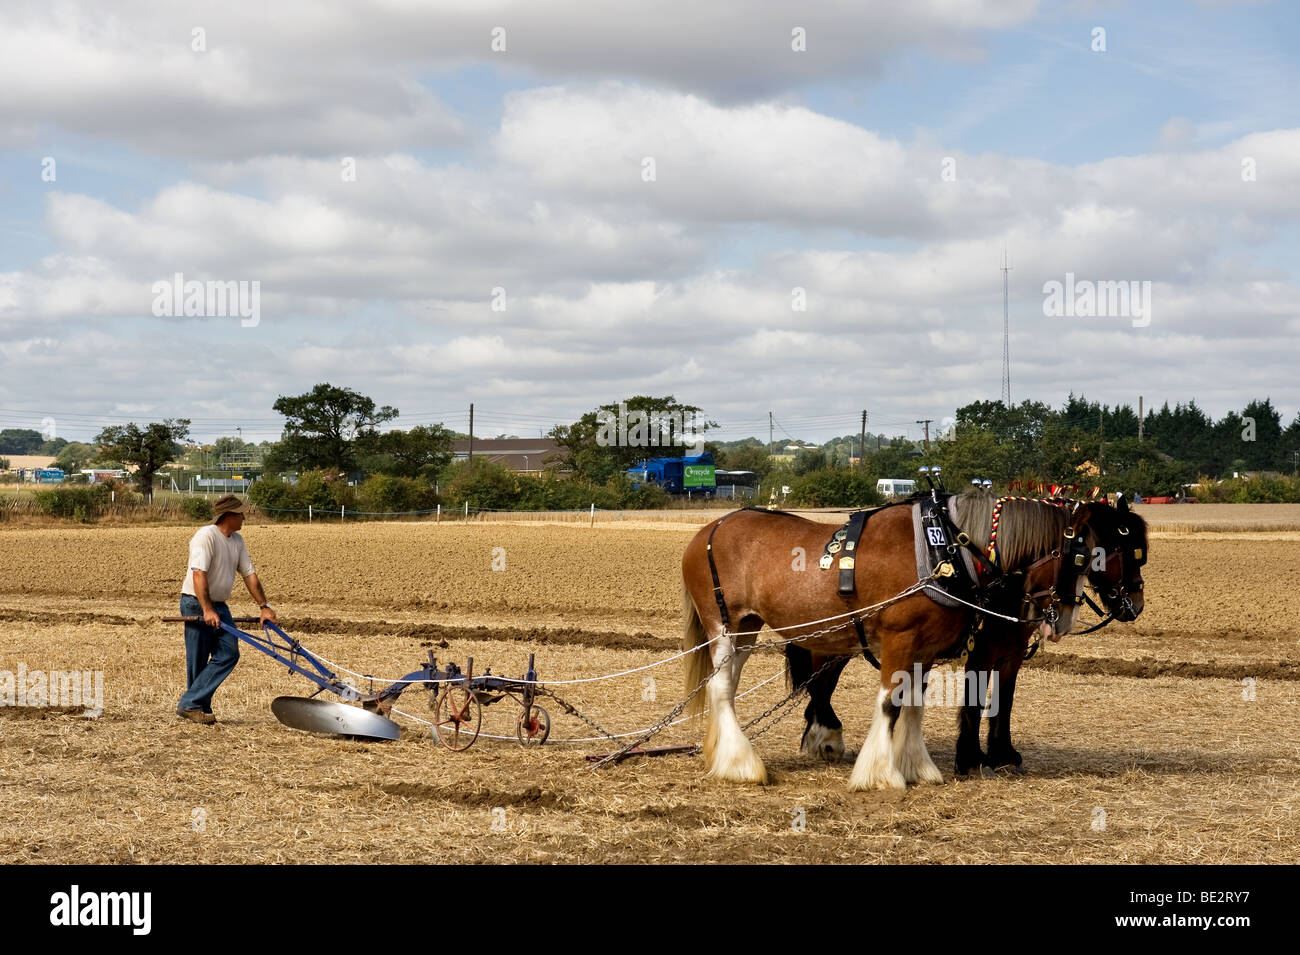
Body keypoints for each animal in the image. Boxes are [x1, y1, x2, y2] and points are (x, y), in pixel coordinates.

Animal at [676, 488, 1081, 789]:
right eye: (1077, 557)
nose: (1063, 620)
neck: (944, 548)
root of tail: (708, 531)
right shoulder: (900, 639)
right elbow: (890, 704)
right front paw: (881, 774)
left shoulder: (925, 648)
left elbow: (914, 704)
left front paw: (917, 767)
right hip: (723, 625)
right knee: (720, 688)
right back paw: (740, 764)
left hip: (746, 628)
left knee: (725, 686)